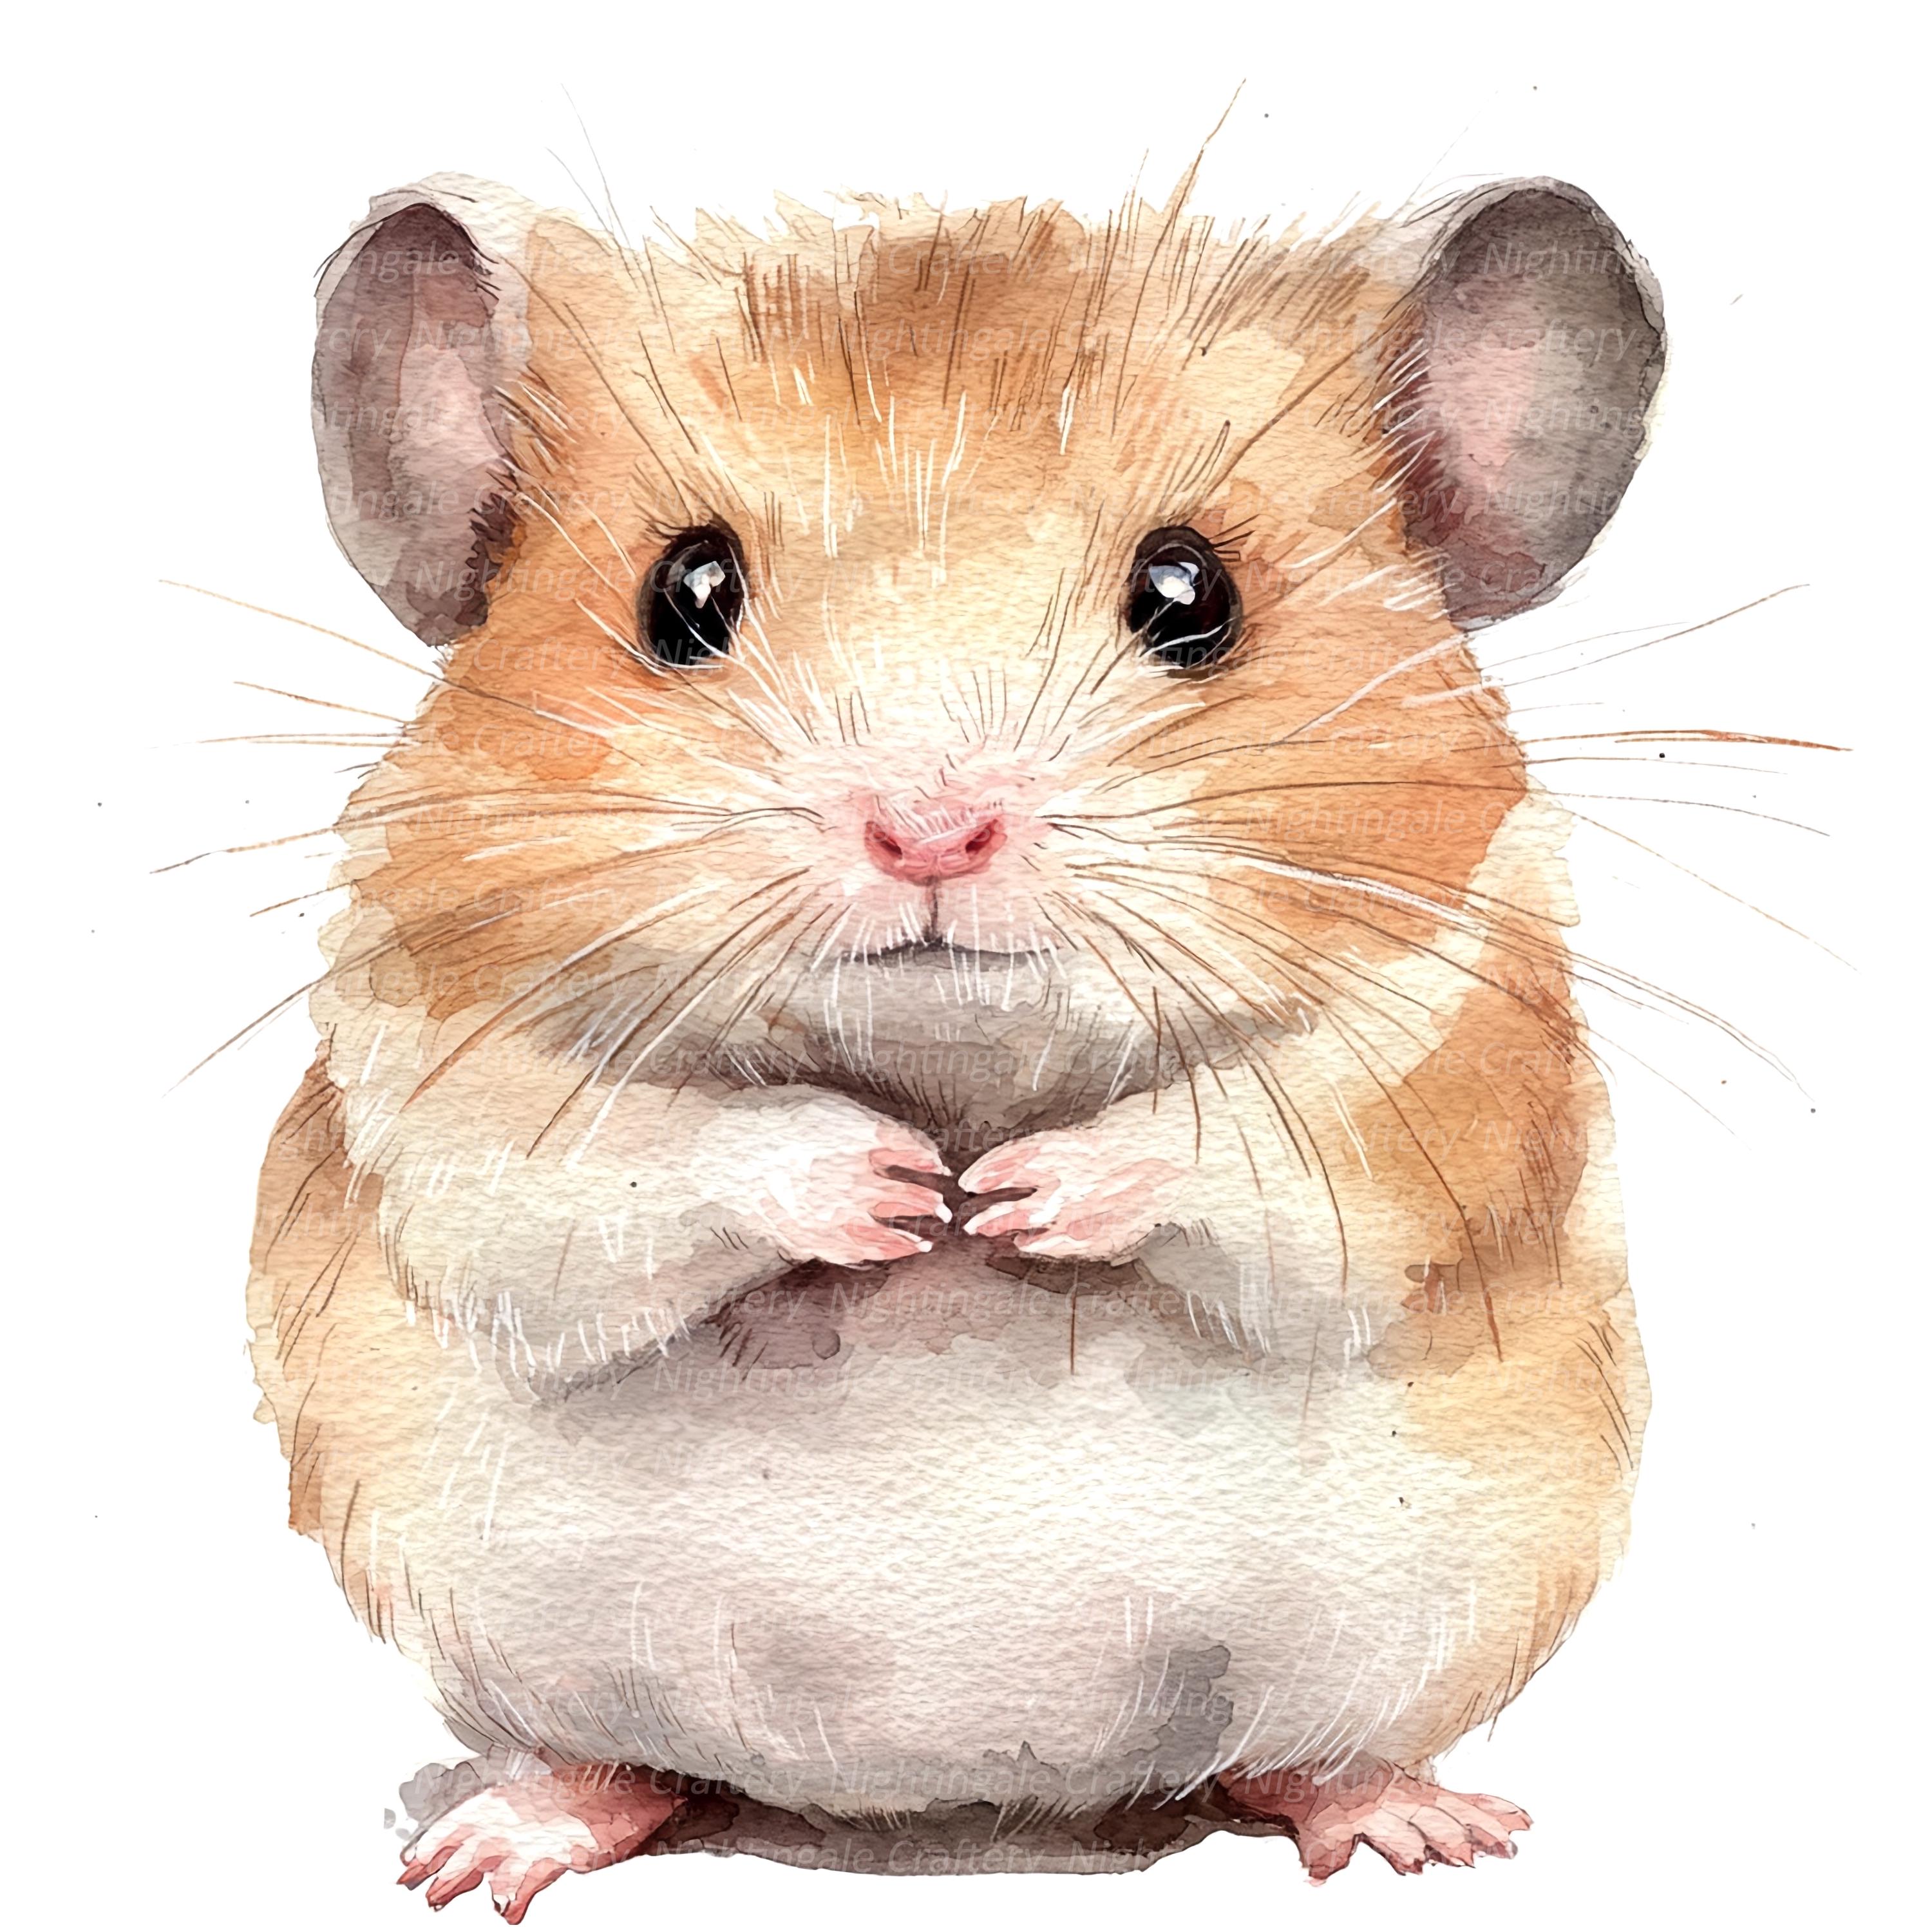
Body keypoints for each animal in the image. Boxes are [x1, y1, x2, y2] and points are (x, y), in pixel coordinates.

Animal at [247, 168, 1661, 1915]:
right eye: (686, 592)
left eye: (1192, 594)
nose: (928, 832)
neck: (955, 1076)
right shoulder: (445, 1063)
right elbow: (629, 1166)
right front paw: (900, 1200)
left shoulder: (1450, 1041)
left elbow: (1252, 1143)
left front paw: (1013, 1205)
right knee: (615, 1757)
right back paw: (492, 1848)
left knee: (1298, 1755)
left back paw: (1414, 1827)